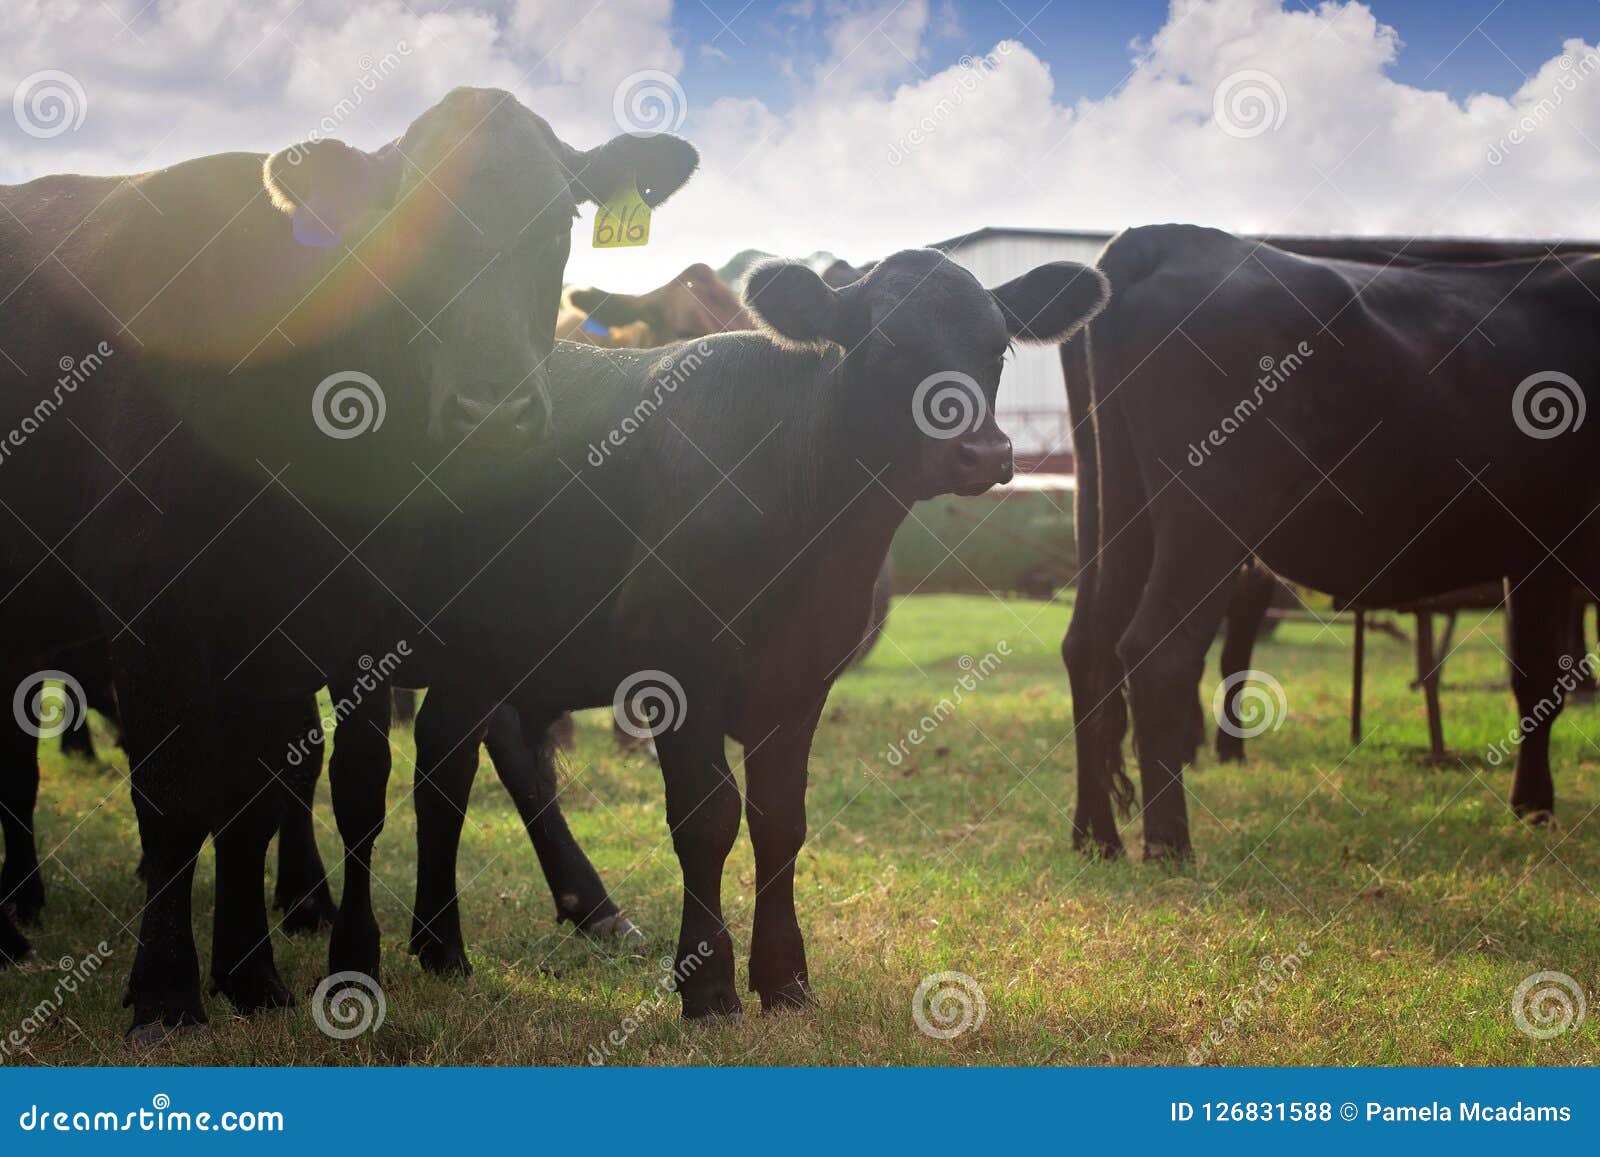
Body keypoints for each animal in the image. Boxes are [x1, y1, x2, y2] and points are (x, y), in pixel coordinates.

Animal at [0, 88, 696, 1040]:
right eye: (398, 230)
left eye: (559, 219)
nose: (495, 411)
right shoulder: (151, 601)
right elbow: (176, 795)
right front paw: (168, 990)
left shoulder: (346, 615)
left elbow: (308, 790)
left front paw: (280, 972)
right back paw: (14, 918)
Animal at [321, 248, 1110, 1016]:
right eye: (888, 344)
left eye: (997, 347)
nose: (984, 452)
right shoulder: (677, 665)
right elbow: (707, 816)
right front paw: (707, 986)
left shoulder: (801, 678)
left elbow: (780, 818)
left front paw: (786, 979)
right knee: (372, 775)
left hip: (483, 644)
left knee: (449, 761)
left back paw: (448, 946)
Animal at [1062, 223, 1600, 860]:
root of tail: (1172, 237)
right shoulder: (1552, 547)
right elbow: (1543, 678)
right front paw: (1536, 807)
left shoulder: (1532, 554)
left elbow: (1533, 678)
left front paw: (1530, 806)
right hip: (1208, 512)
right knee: (1157, 651)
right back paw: (1171, 847)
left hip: (1110, 501)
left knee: (1088, 647)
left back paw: (1096, 837)